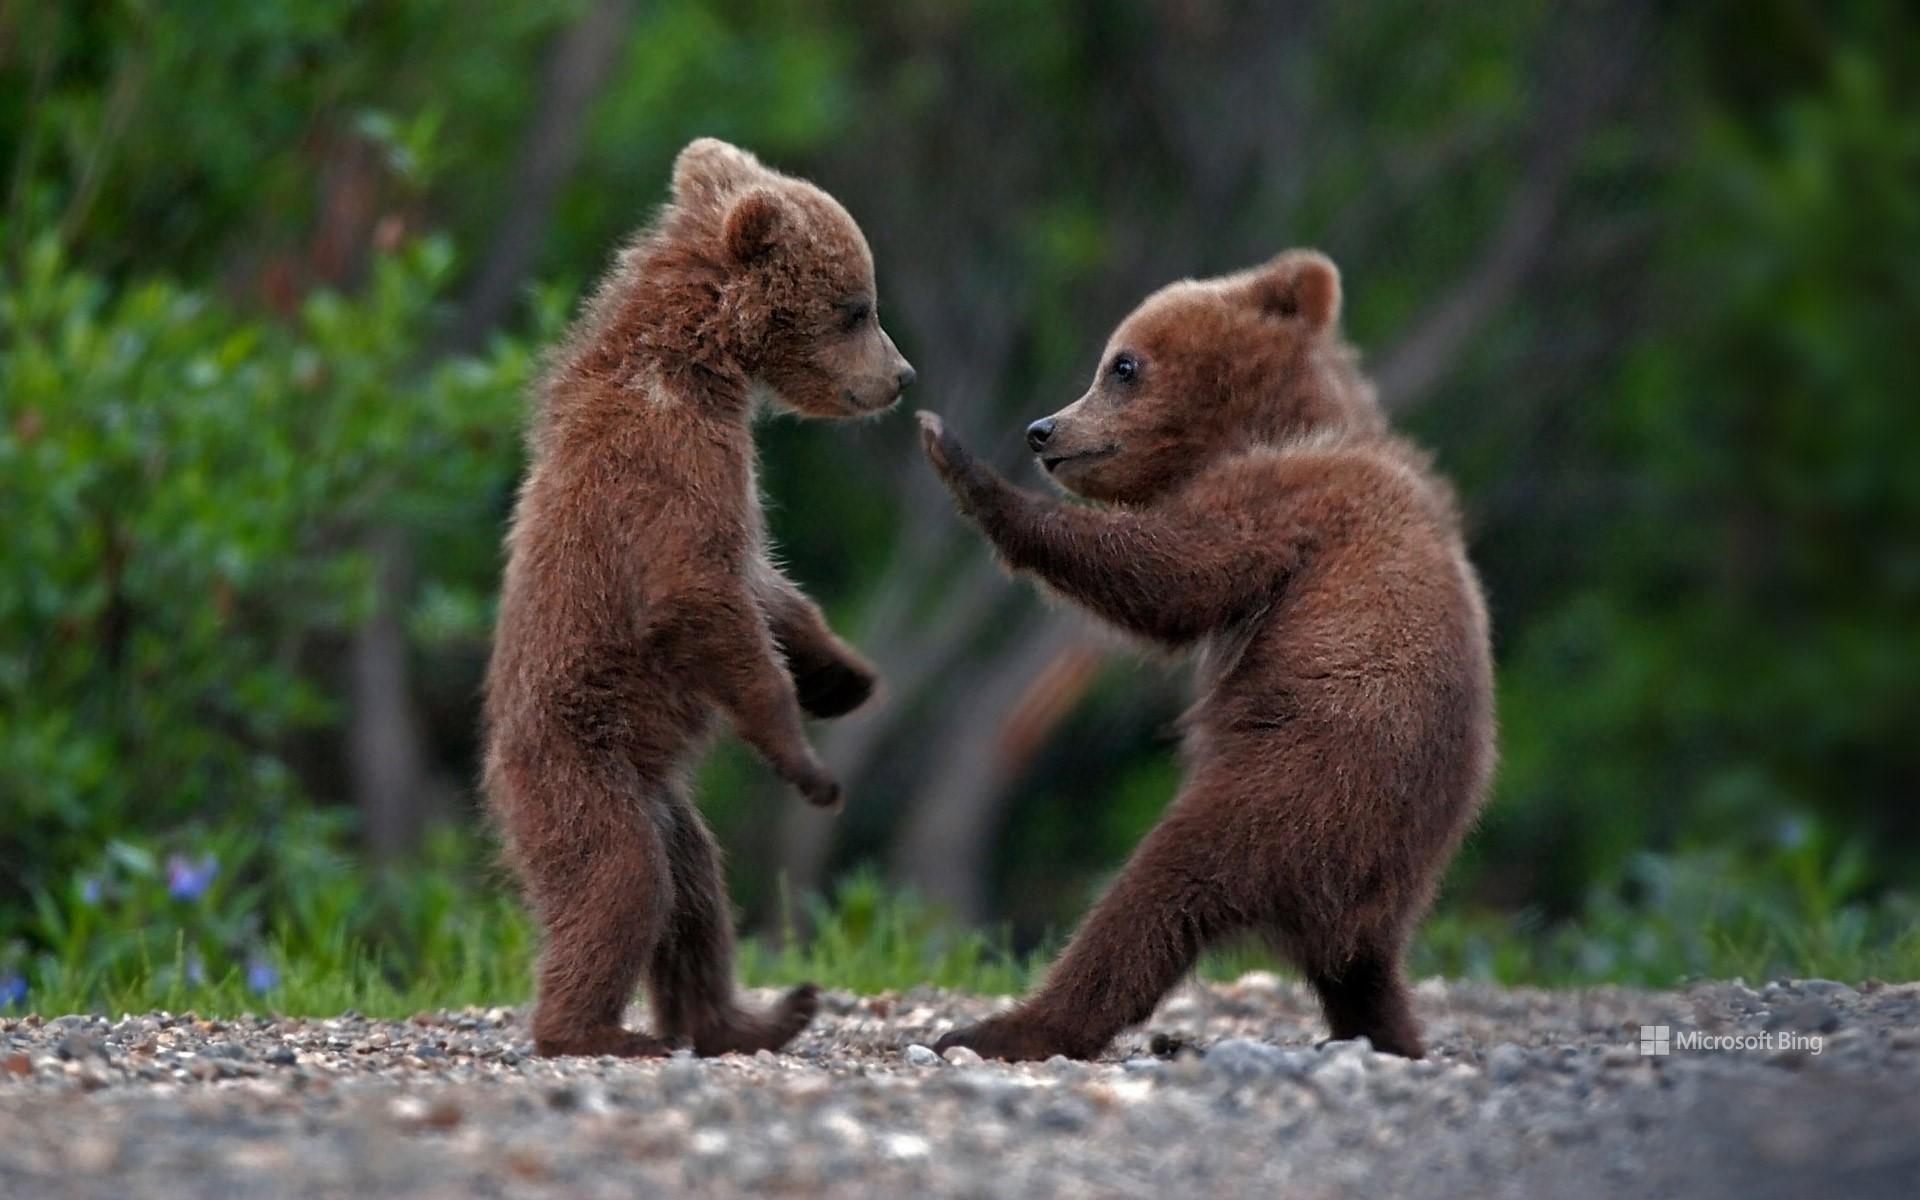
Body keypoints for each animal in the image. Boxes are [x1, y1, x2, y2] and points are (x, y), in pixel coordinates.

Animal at [482, 138, 915, 1058]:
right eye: (857, 307)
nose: (901, 375)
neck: (699, 362)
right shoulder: (671, 461)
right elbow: (698, 594)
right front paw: (808, 764)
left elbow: (765, 585)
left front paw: (845, 676)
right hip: (582, 771)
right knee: (620, 882)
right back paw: (594, 1031)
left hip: (663, 802)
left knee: (695, 897)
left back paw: (752, 1016)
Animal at [916, 249, 1493, 1060]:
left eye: (1122, 364)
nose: (1042, 429)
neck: (1275, 427)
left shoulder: (1285, 506)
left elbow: (1174, 575)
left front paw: (959, 460)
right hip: (1375, 867)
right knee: (1362, 974)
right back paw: (1390, 1035)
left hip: (1296, 789)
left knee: (1156, 892)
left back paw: (1007, 1025)